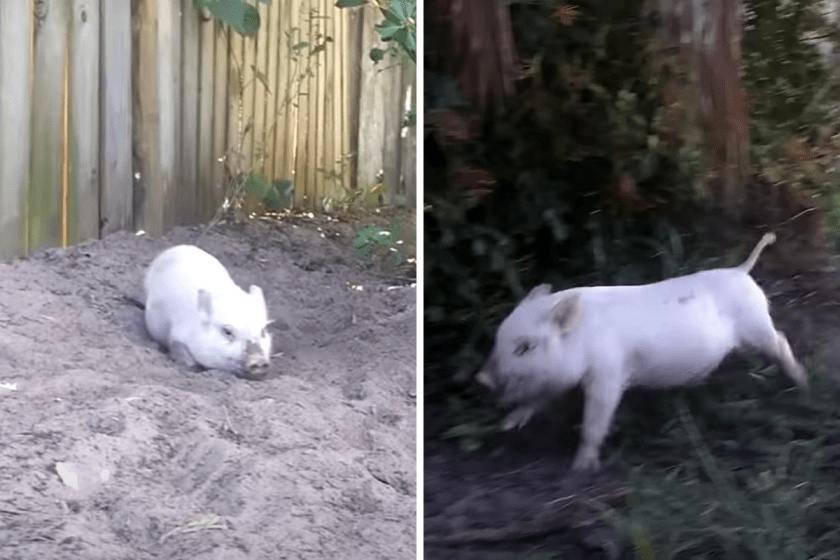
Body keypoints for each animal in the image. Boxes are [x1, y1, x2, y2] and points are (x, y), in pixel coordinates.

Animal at [477, 232, 807, 472]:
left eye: (525, 347)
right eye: (498, 337)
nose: (482, 379)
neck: (583, 338)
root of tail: (741, 271)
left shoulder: (608, 376)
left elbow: (595, 420)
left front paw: (581, 469)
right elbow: (538, 399)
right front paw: (507, 425)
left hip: (756, 327)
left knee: (781, 340)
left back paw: (801, 382)